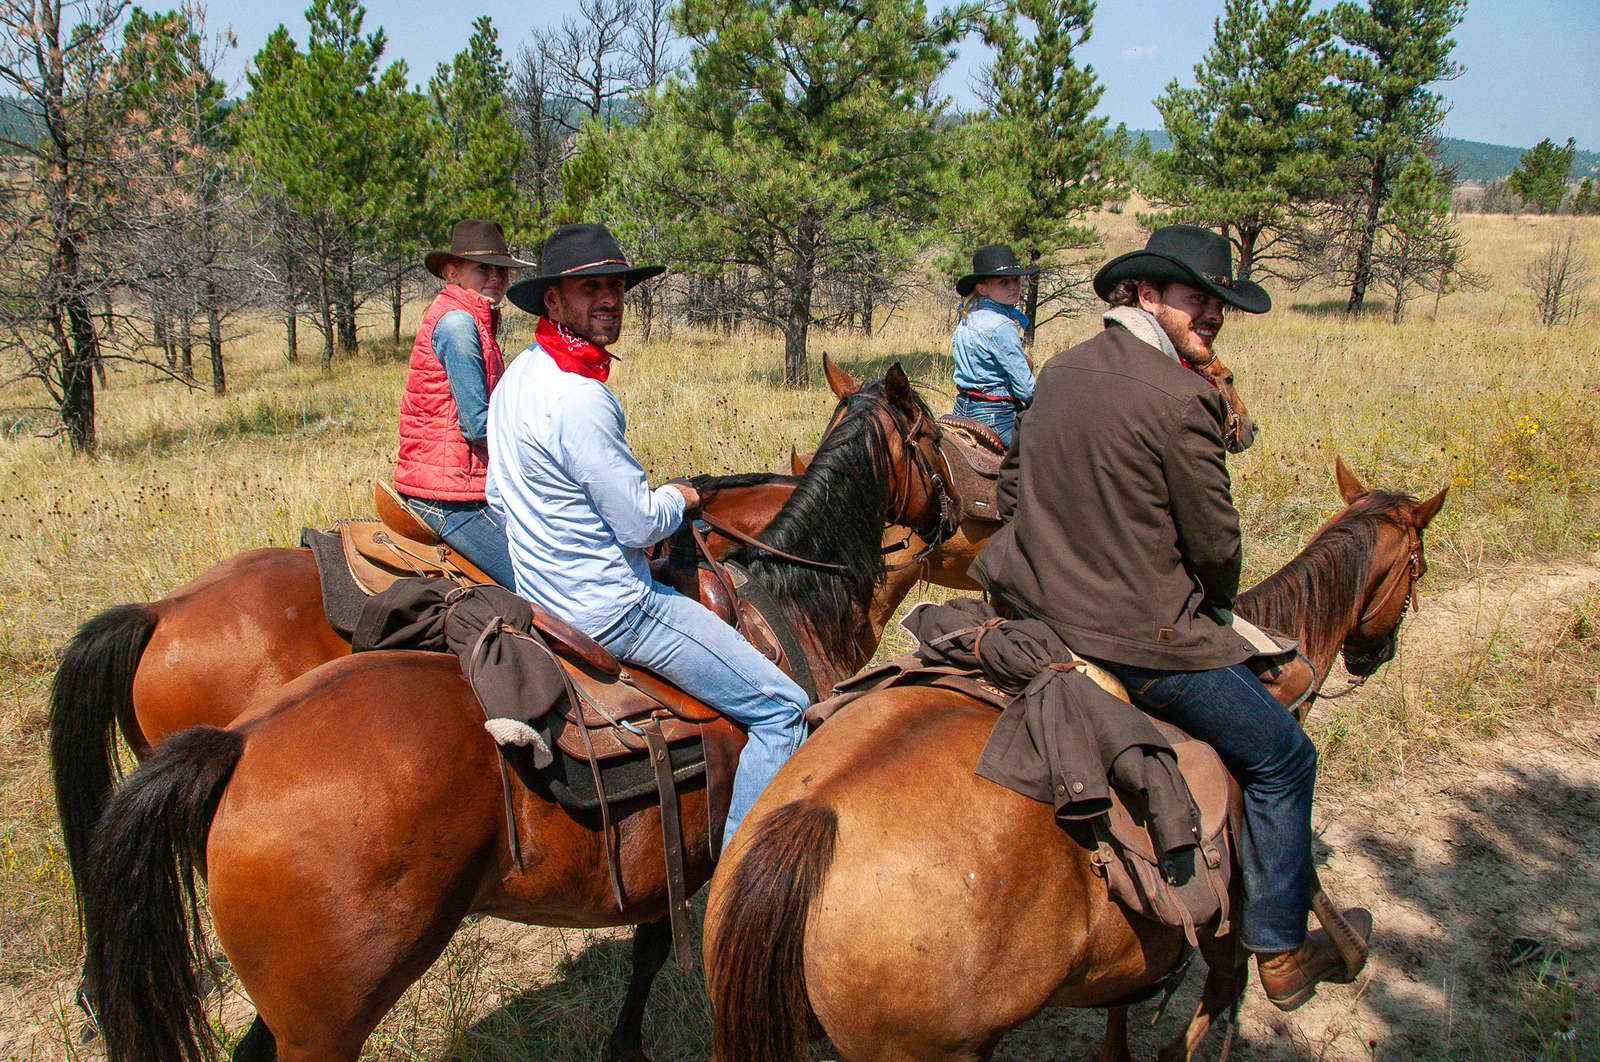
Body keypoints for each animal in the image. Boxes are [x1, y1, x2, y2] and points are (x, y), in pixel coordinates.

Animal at [78, 364, 952, 1062]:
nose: (956, 520)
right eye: (938, 439)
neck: (786, 602)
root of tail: (239, 743)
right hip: (323, 1025)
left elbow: (649, 946)